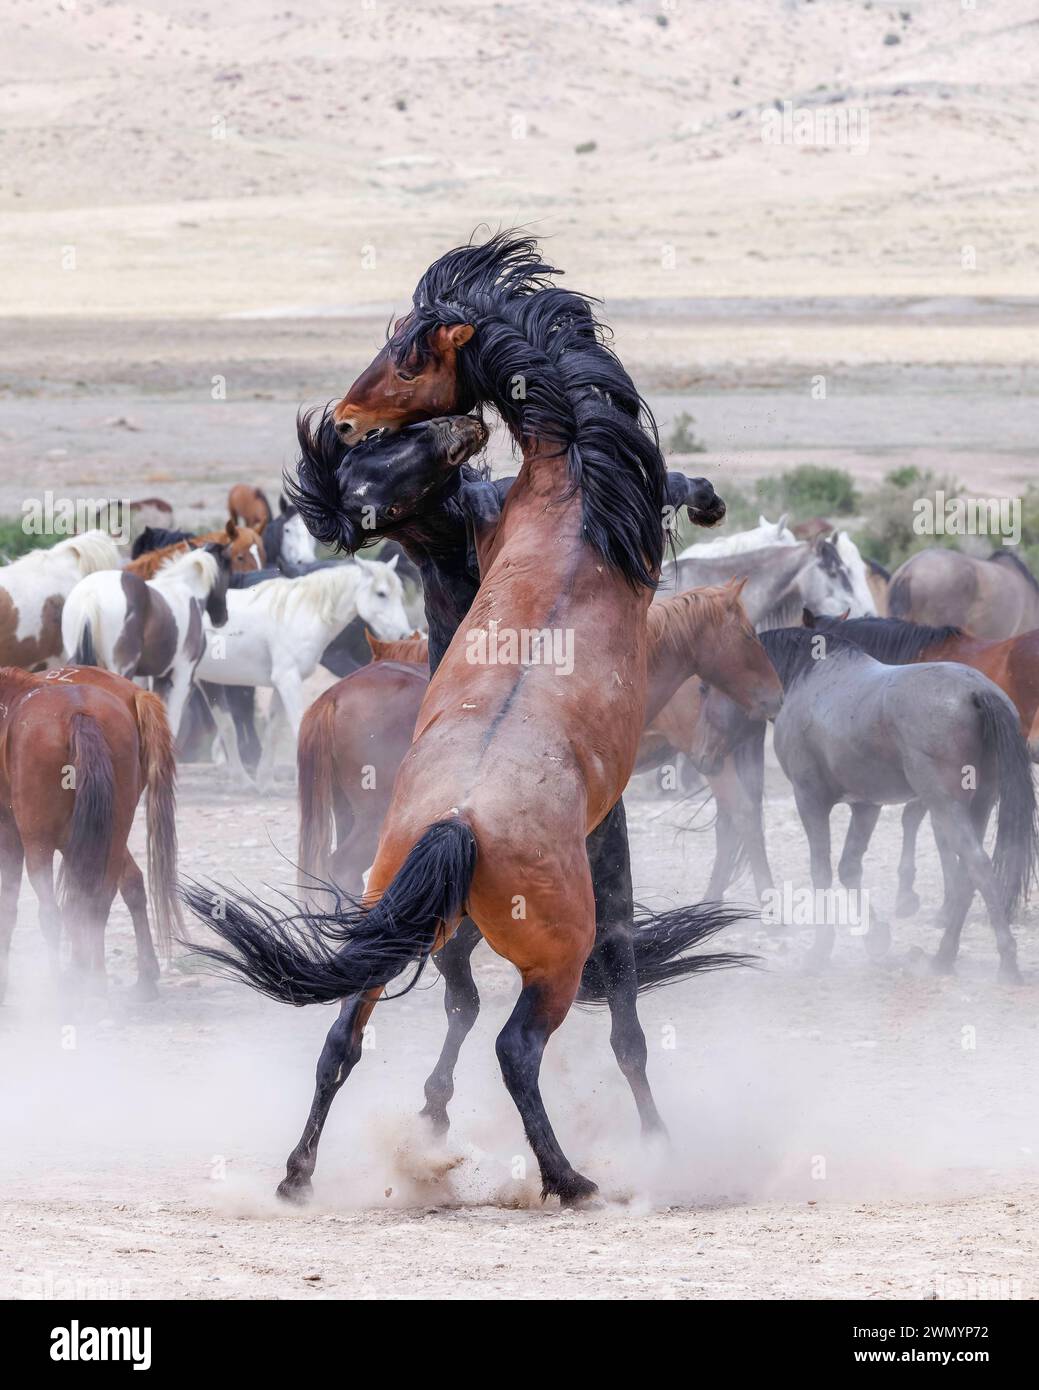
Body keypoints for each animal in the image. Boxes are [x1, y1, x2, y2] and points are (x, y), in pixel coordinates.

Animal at [0, 664, 181, 1003]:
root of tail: (78, 711)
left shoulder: (11, 835)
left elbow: (9, 906)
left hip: (39, 842)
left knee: (54, 913)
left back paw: (63, 986)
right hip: (113, 832)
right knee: (104, 898)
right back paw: (107, 981)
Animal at [60, 544, 233, 741]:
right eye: (228, 569)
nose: (222, 618)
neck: (187, 593)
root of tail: (92, 594)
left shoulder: (158, 678)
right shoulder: (183, 675)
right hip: (121, 670)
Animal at [194, 556, 412, 784]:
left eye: (399, 593)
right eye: (381, 593)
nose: (403, 634)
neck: (299, 614)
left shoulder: (281, 684)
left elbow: (272, 729)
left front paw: (266, 781)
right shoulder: (288, 679)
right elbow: (298, 726)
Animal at [762, 626, 1036, 983]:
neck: (812, 677)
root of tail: (976, 691)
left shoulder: (809, 798)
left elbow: (821, 872)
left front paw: (819, 951)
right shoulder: (866, 805)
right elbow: (849, 868)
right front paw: (875, 936)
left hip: (945, 804)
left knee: (976, 863)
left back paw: (1006, 962)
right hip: (980, 802)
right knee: (967, 871)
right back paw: (944, 956)